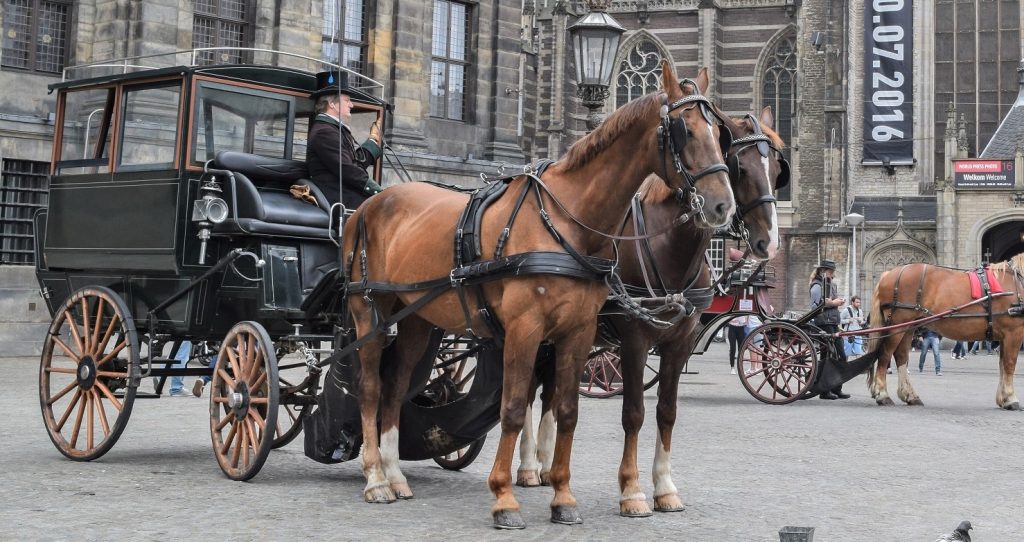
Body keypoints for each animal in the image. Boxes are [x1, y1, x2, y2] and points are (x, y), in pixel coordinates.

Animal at [340, 63, 736, 529]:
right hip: (369, 311)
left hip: (417, 318)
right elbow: (513, 407)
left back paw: (396, 475)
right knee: (370, 387)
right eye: (685, 130)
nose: (722, 206)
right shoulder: (529, 328)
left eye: (720, 133)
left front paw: (562, 496)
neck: (569, 220)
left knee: (396, 387)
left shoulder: (578, 332)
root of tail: (372, 203)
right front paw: (504, 498)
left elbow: (567, 410)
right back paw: (375, 479)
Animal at [515, 106, 789, 517]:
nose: (768, 242)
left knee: (551, 389)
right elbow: (633, 413)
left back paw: (546, 466)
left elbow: (666, 412)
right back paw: (530, 467)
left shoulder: (679, 343)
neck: (667, 244)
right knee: (533, 387)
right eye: (739, 167)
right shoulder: (634, 340)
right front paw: (632, 491)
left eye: (776, 170)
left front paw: (665, 487)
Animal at [865, 254, 1024, 410]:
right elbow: (1009, 364)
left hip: (907, 328)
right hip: (897, 326)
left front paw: (1003, 399)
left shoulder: (1005, 337)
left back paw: (910, 395)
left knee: (901, 356)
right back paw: (883, 395)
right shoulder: (1013, 333)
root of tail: (887, 274)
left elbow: (1002, 365)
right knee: (885, 355)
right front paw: (1011, 399)